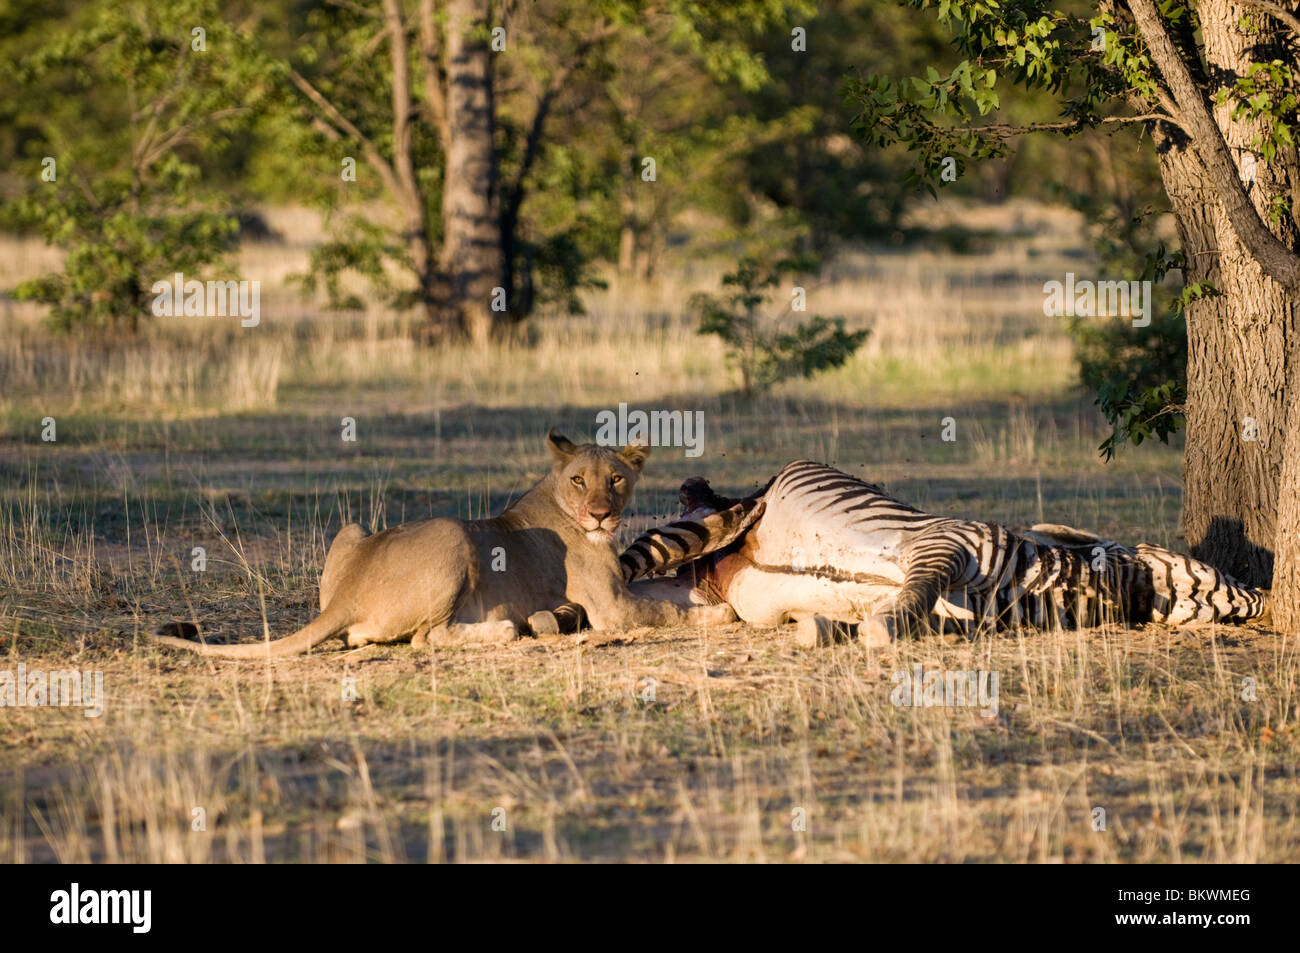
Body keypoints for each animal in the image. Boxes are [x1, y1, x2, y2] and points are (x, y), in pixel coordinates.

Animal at [603, 460, 1269, 647]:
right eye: (1214, 574)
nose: (1266, 593)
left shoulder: (963, 619)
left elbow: (904, 616)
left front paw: (832, 628)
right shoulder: (942, 544)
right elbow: (911, 600)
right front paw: (875, 631)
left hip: (698, 586)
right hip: (706, 528)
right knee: (629, 563)